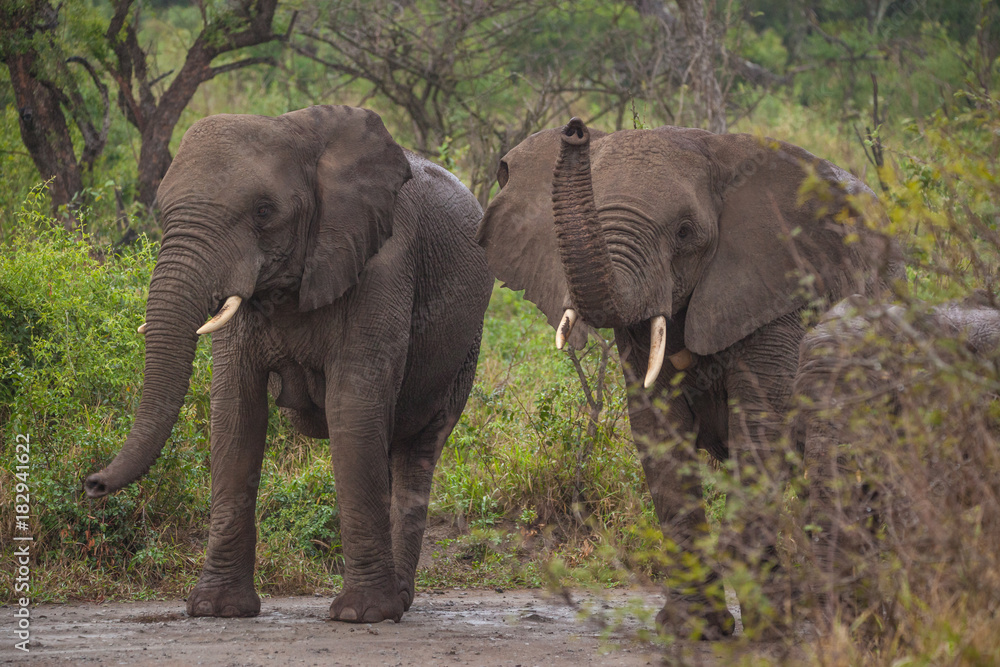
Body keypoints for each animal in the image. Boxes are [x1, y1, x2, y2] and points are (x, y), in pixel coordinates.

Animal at [83, 105, 493, 623]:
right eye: (163, 211)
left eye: (263, 211)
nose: (92, 484)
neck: (299, 134)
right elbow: (236, 409)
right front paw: (216, 609)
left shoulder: (384, 261)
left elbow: (352, 405)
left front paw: (360, 616)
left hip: (466, 347)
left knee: (418, 448)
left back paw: (396, 602)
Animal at [476, 117, 903, 637]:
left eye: (684, 233)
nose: (575, 130)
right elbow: (658, 432)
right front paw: (692, 628)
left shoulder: (778, 292)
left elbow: (758, 425)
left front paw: (766, 626)